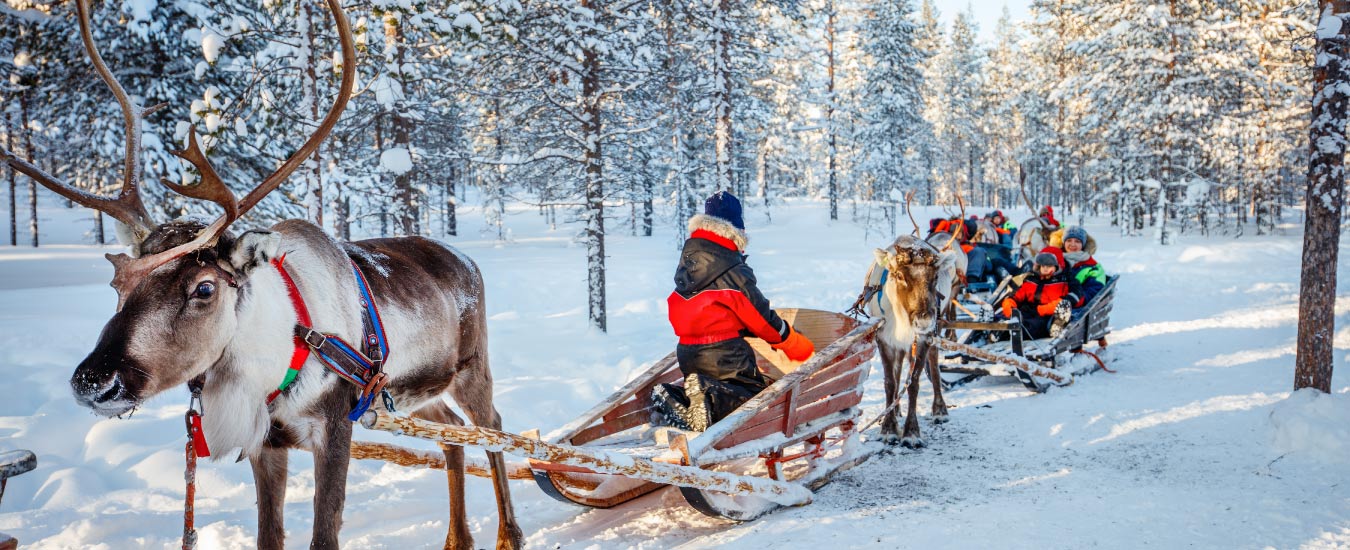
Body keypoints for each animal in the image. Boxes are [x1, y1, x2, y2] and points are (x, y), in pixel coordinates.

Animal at [0, 1, 523, 548]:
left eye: (204, 288)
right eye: (118, 285)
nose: (94, 381)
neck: (274, 355)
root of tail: (464, 259)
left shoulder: (334, 428)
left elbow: (324, 534)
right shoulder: (267, 443)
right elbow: (268, 534)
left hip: (472, 368)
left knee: (493, 431)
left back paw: (509, 532)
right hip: (410, 394)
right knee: (452, 436)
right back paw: (457, 536)